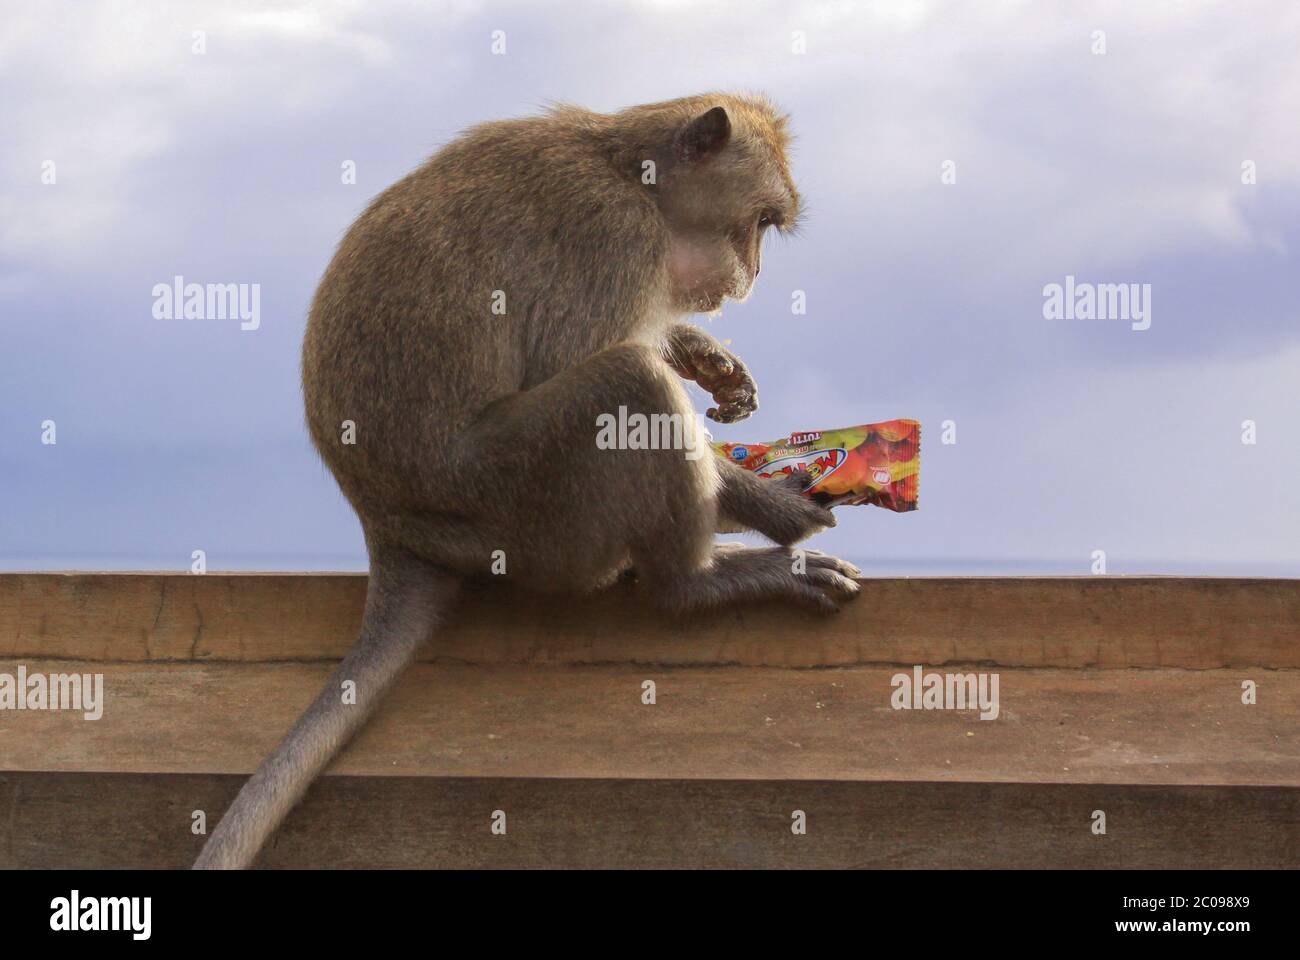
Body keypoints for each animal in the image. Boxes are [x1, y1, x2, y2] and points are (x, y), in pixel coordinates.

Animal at [193, 93, 861, 869]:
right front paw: (779, 502)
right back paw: (698, 582)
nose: (750, 275)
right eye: (759, 223)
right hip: (525, 512)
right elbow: (583, 361)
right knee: (625, 384)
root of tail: (387, 527)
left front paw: (706, 356)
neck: (634, 177)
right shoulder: (617, 240)